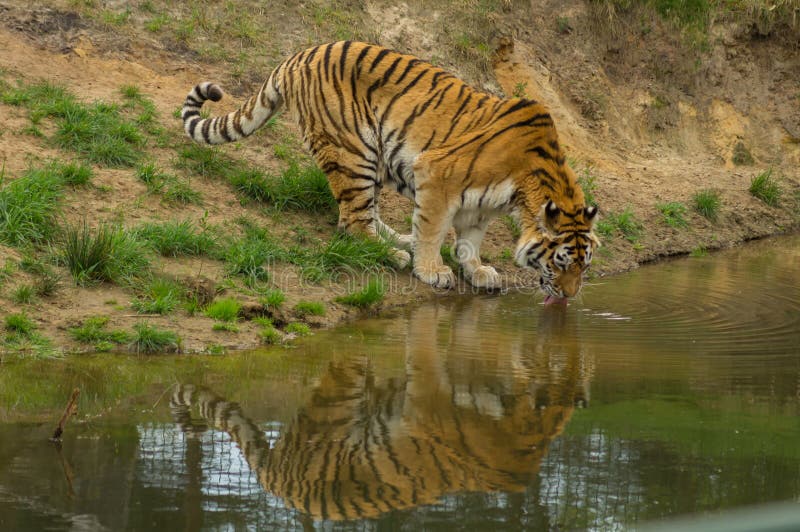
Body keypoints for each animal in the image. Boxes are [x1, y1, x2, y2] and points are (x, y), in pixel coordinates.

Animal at [182, 41, 599, 301]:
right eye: (560, 261)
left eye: (585, 265)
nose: (569, 296)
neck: (528, 186)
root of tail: (297, 56)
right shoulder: (437, 174)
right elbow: (432, 229)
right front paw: (432, 271)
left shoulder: (479, 206)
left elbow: (469, 241)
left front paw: (476, 271)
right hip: (354, 151)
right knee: (353, 222)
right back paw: (393, 254)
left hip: (373, 158)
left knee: (360, 213)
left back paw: (399, 239)